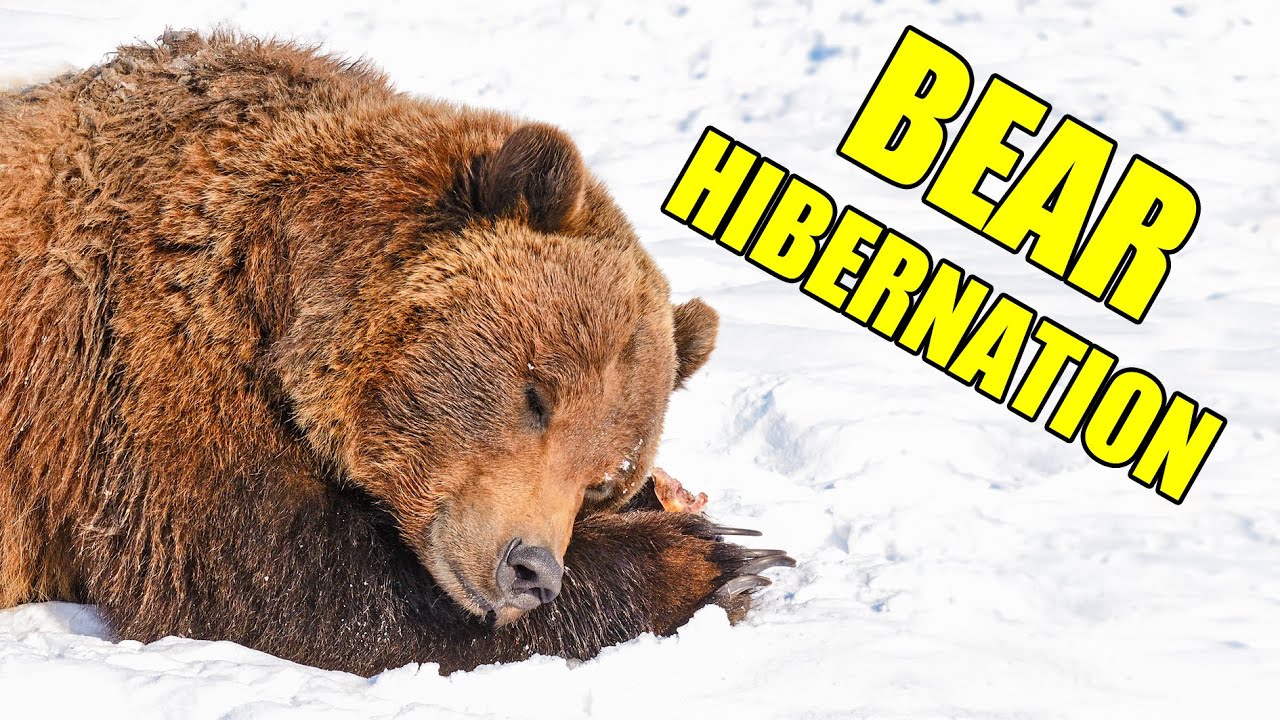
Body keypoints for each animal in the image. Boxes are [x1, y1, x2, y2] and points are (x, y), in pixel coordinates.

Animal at [0, 30, 791, 675]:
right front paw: (714, 559)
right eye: (536, 395)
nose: (531, 571)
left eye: (603, 480)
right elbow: (251, 564)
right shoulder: (148, 356)